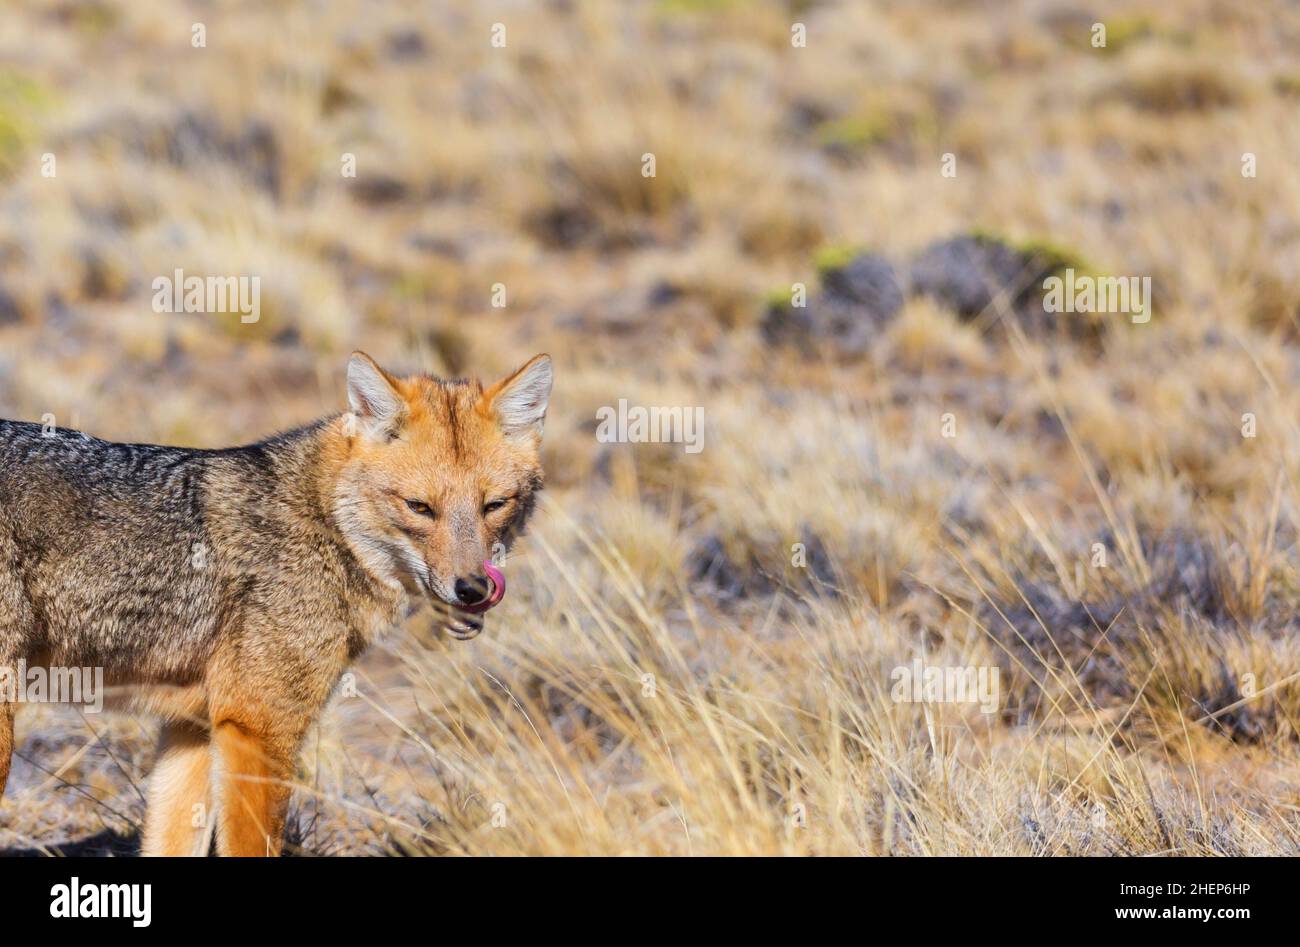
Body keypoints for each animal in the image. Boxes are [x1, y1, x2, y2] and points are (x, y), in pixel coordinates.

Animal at [0, 351, 553, 856]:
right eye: (419, 507)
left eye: (494, 505)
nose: (472, 589)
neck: (323, 524)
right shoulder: (260, 728)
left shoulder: (194, 729)